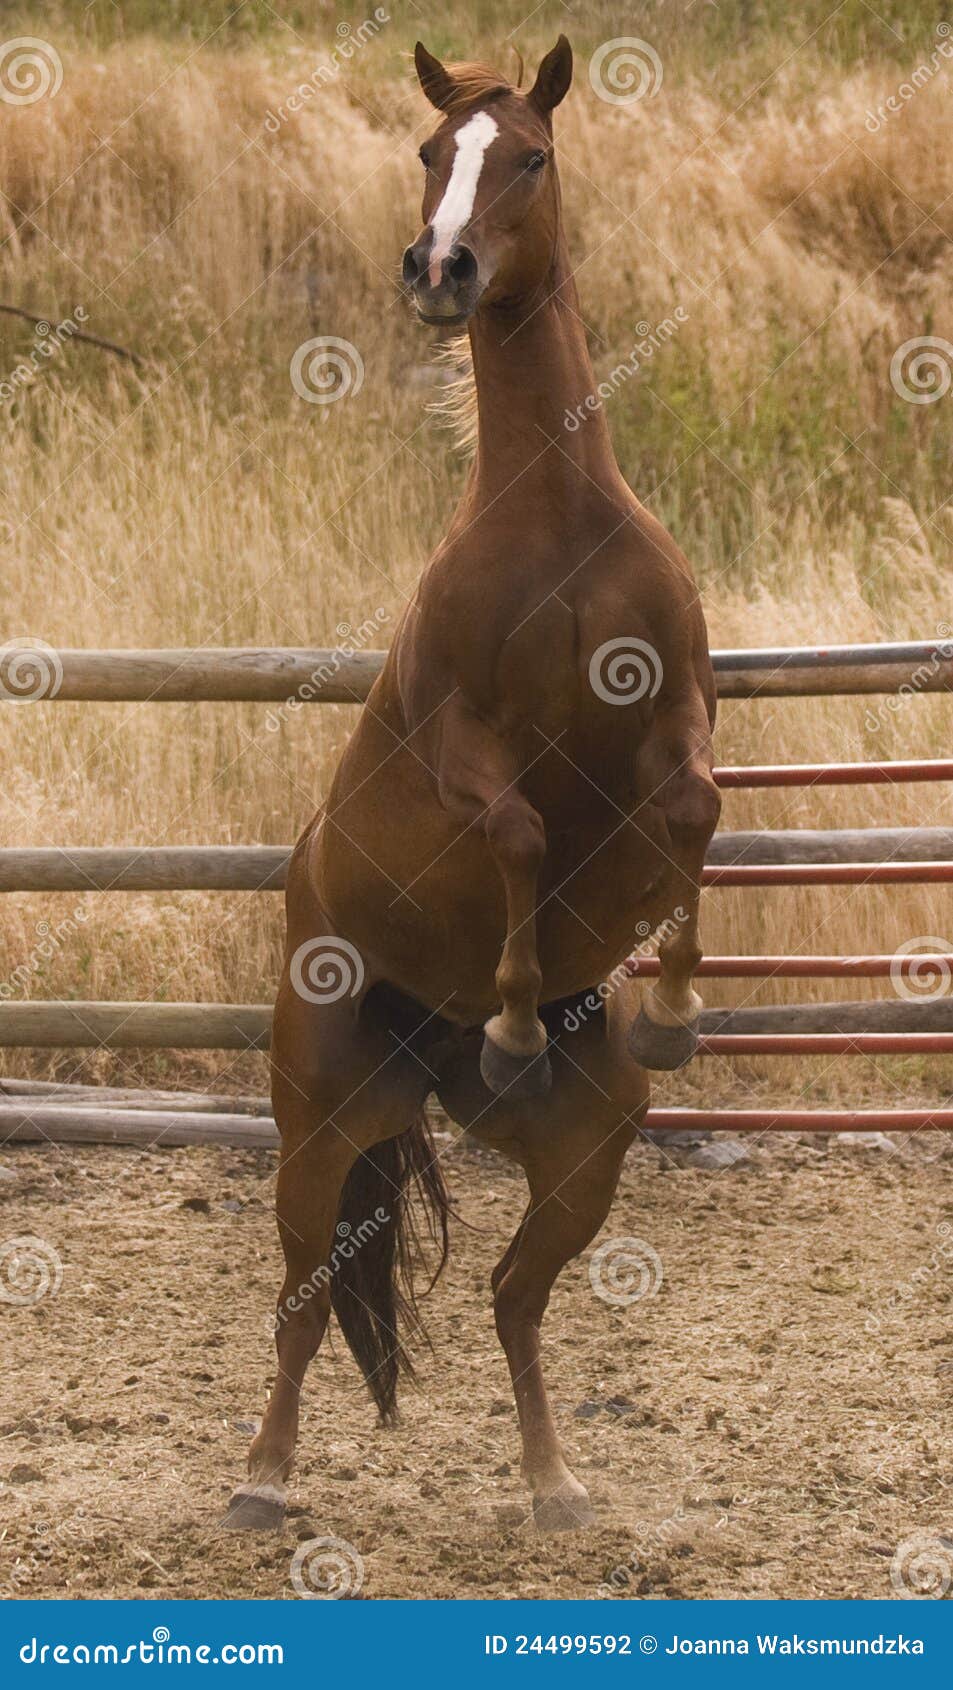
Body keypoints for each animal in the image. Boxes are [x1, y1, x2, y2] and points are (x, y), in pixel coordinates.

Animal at [226, 35, 720, 1537]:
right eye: (430, 152)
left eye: (531, 157)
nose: (438, 267)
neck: (553, 521)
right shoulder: (457, 740)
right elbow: (512, 825)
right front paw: (509, 1017)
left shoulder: (676, 714)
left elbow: (693, 812)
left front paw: (672, 1010)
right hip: (318, 1127)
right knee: (305, 1294)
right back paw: (262, 1477)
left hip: (582, 1151)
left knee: (511, 1296)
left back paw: (555, 1481)